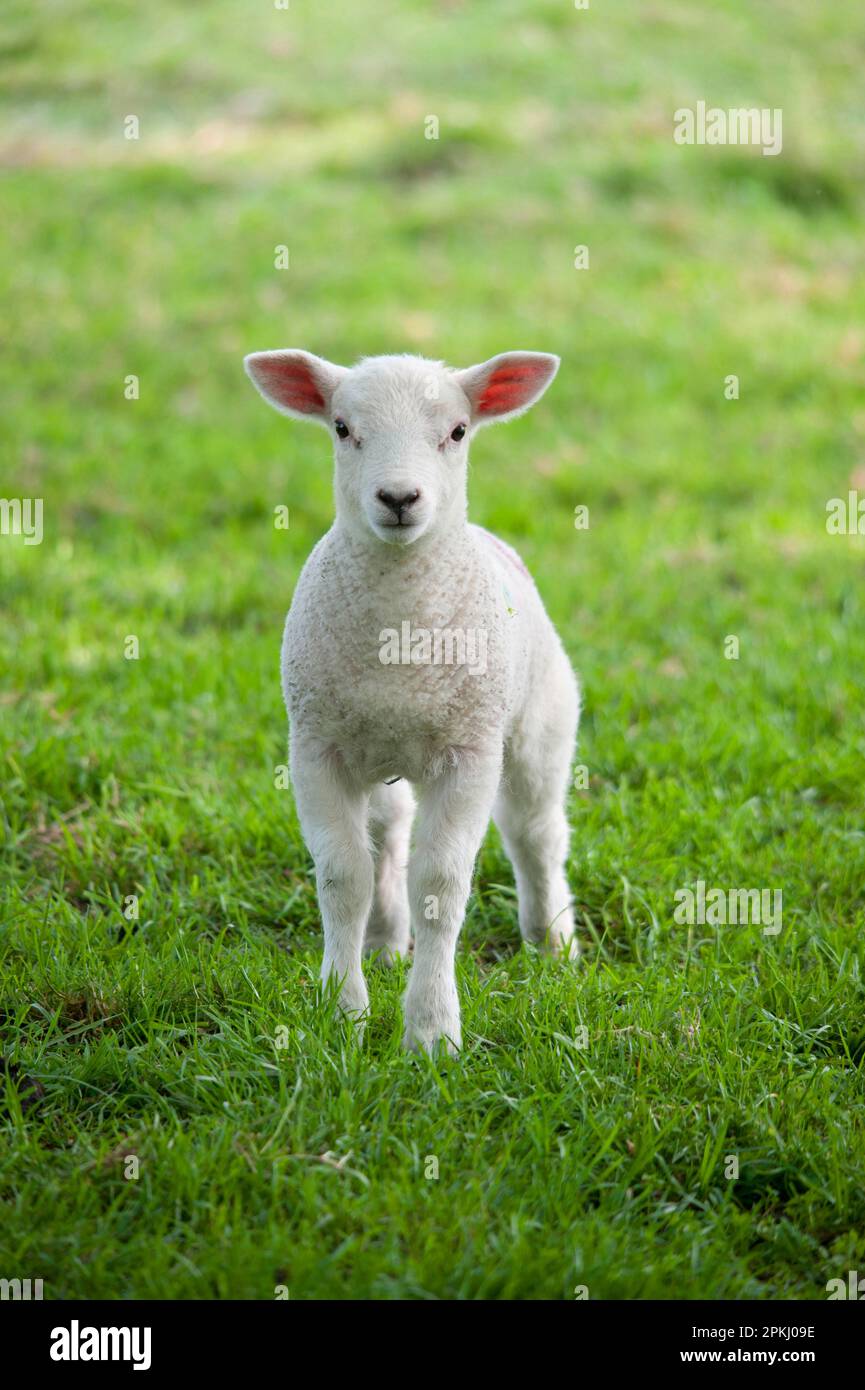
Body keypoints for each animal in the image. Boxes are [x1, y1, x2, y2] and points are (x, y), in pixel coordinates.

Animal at [244, 348, 580, 1054]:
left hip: (539, 725)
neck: (398, 640)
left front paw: (431, 1032)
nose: (399, 498)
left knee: (536, 833)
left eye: (457, 431)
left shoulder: (469, 753)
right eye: (342, 428)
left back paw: (552, 941)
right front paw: (341, 1013)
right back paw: (383, 942)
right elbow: (343, 879)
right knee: (388, 837)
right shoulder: (316, 749)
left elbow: (442, 886)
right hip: (378, 751)